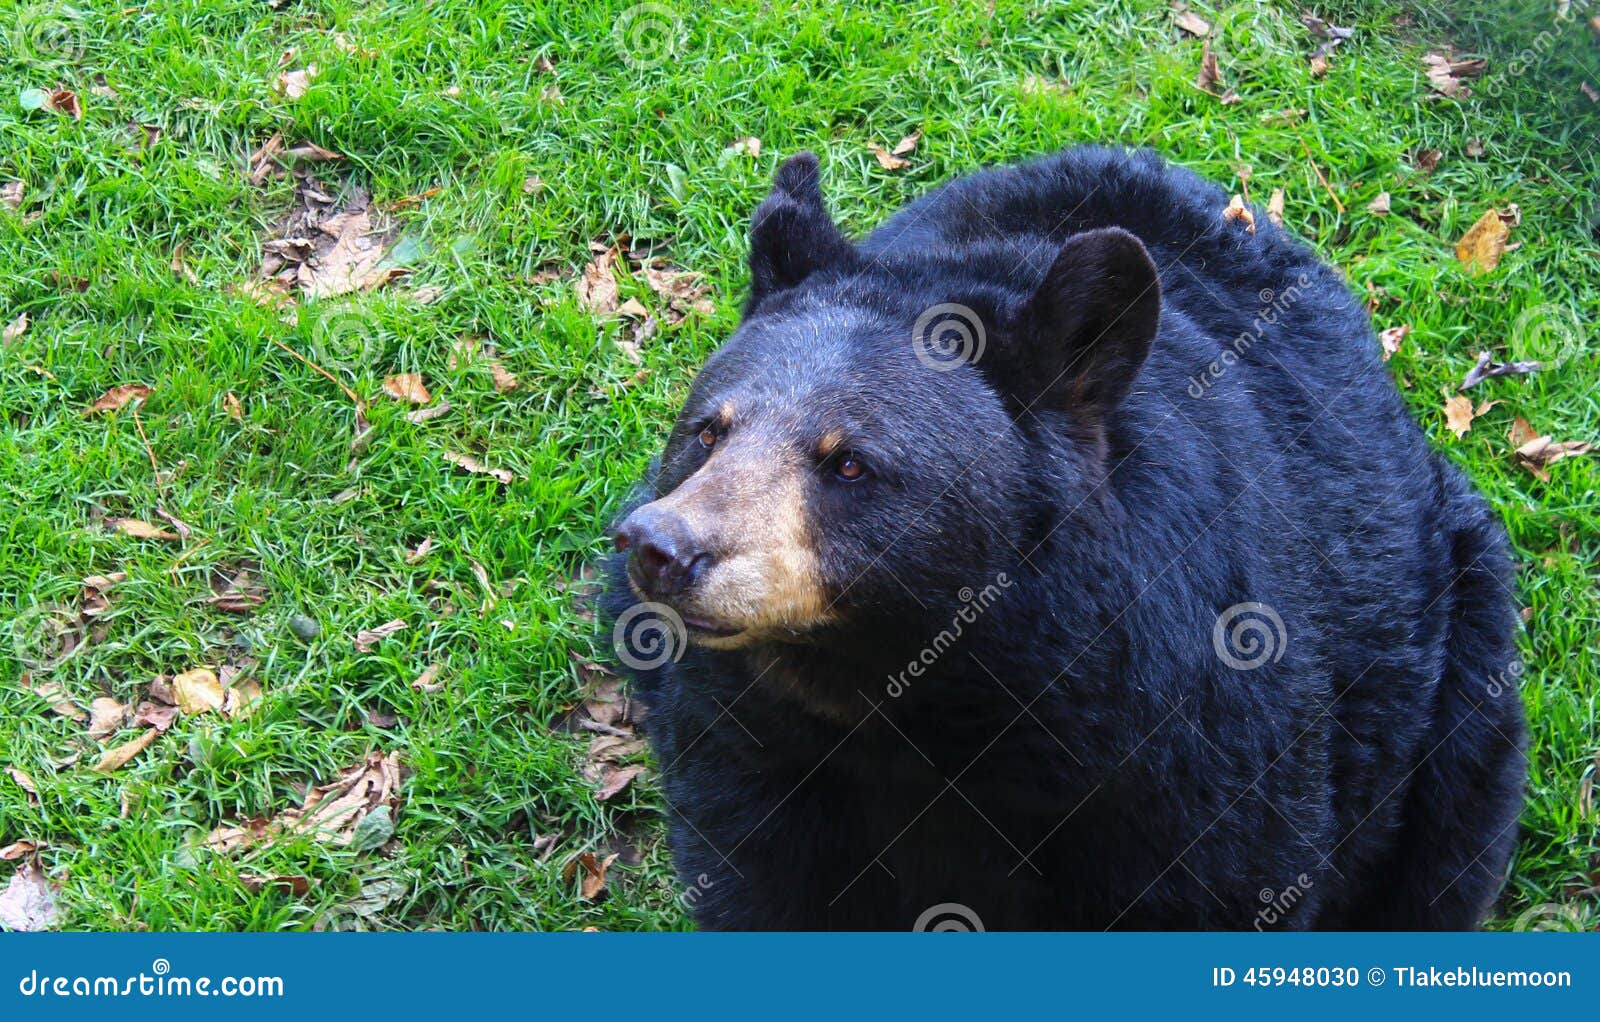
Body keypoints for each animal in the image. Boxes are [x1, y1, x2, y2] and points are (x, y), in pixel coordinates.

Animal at [601, 146, 1527, 931]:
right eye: (708, 431)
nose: (663, 548)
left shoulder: (1188, 738)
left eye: (850, 463)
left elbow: (1224, 880)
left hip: (1459, 640)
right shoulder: (756, 750)